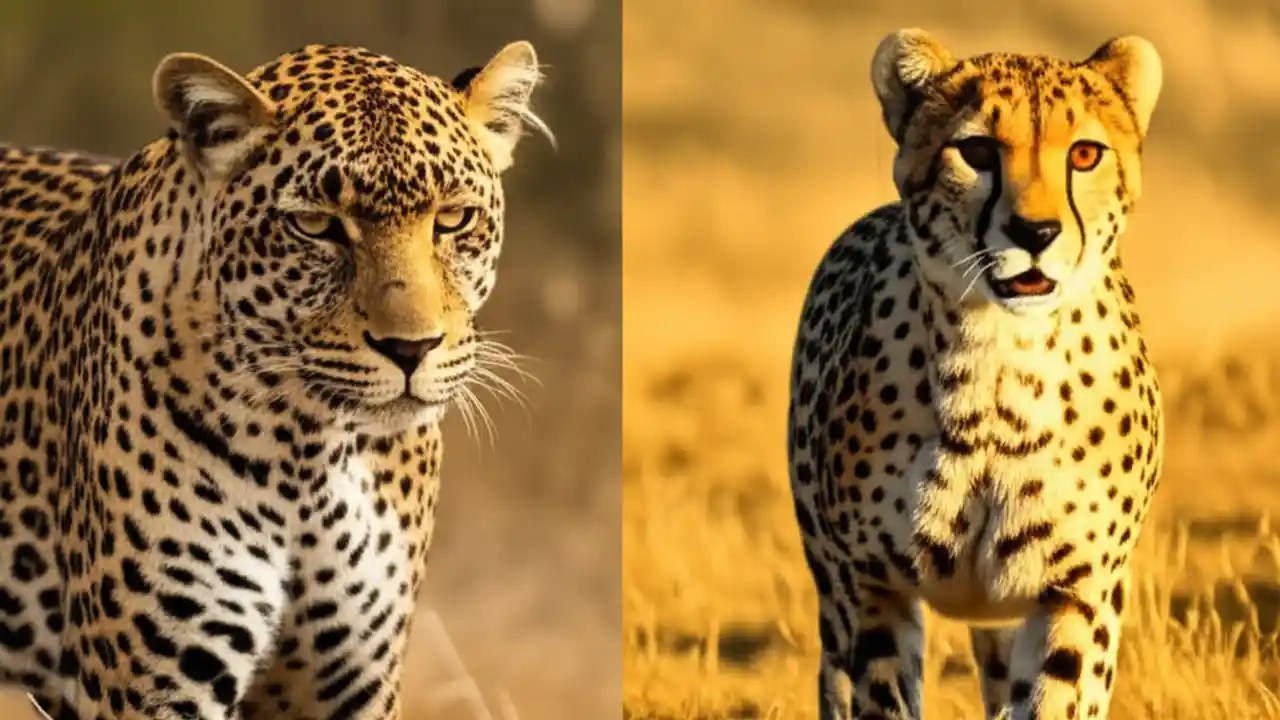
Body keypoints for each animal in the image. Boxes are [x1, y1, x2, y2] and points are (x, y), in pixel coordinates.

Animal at [0, 39, 549, 720]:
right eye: (315, 226)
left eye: (453, 219)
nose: (411, 348)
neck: (310, 457)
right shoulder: (152, 688)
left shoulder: (349, 683)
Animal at [787, 29, 1164, 720]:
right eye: (977, 151)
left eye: (1085, 154)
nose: (1035, 231)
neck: (1001, 378)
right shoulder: (874, 583)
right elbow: (883, 694)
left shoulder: (1075, 589)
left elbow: (1055, 696)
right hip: (831, 584)